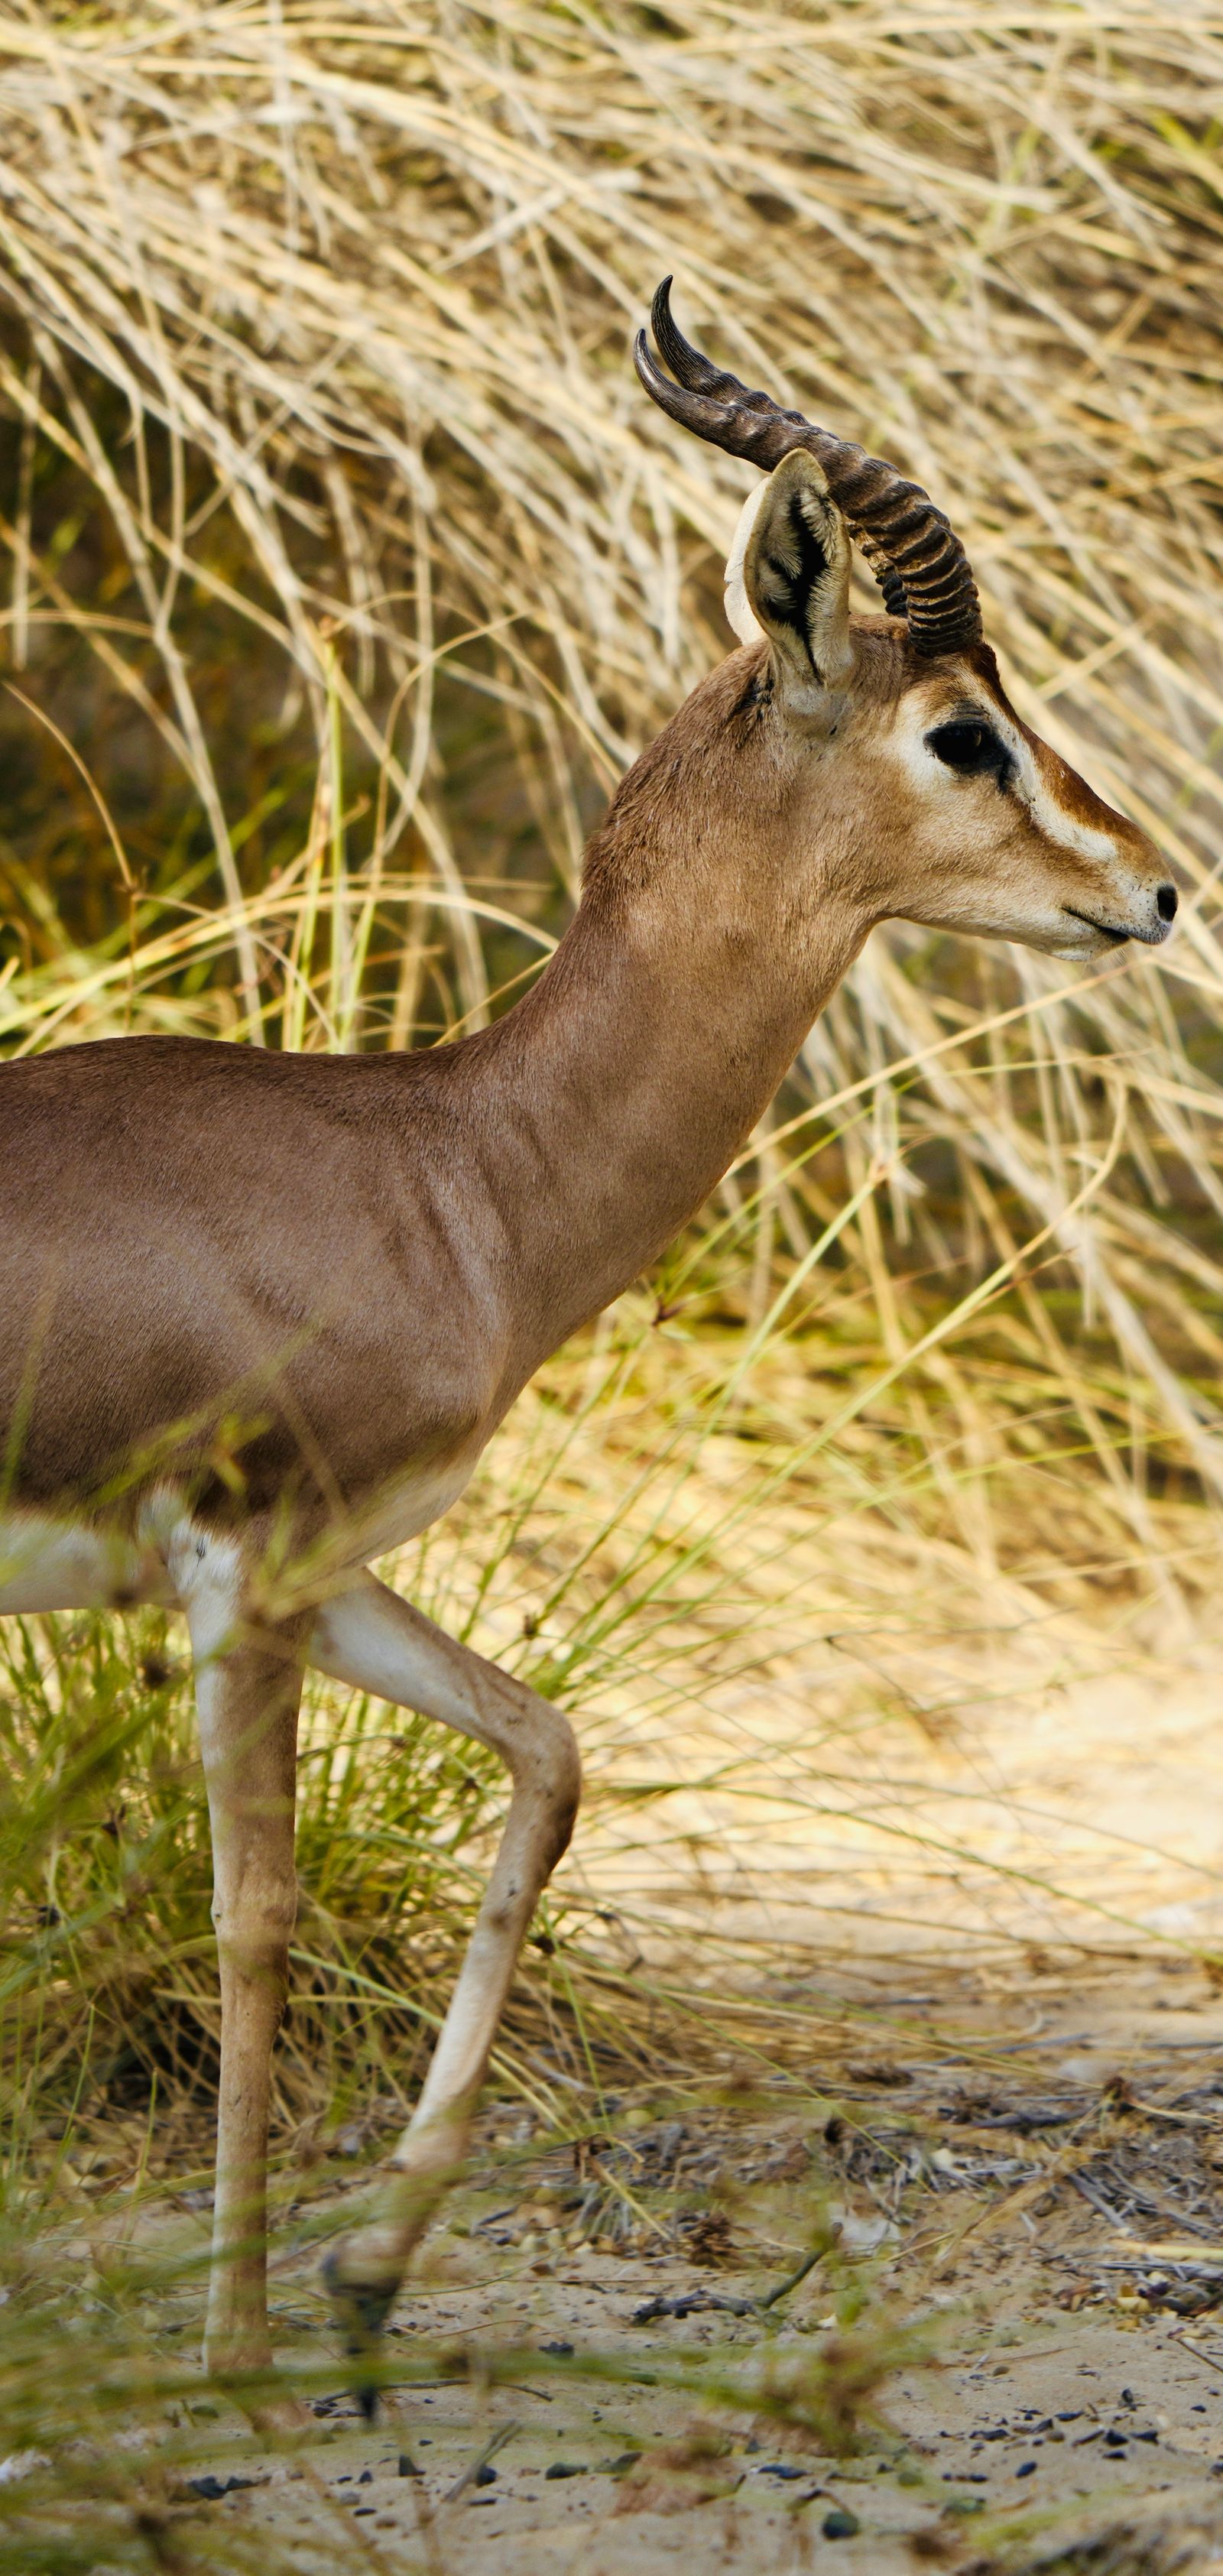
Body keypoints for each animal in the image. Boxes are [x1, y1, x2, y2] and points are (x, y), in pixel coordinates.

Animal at [0, 282, 1175, 2408]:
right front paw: (235, 2338)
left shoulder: (334, 1569)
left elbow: (549, 1758)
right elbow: (252, 1913)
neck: (450, 1162)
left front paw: (365, 2273)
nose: (1152, 885)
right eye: (958, 725)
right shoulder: (239, 1566)